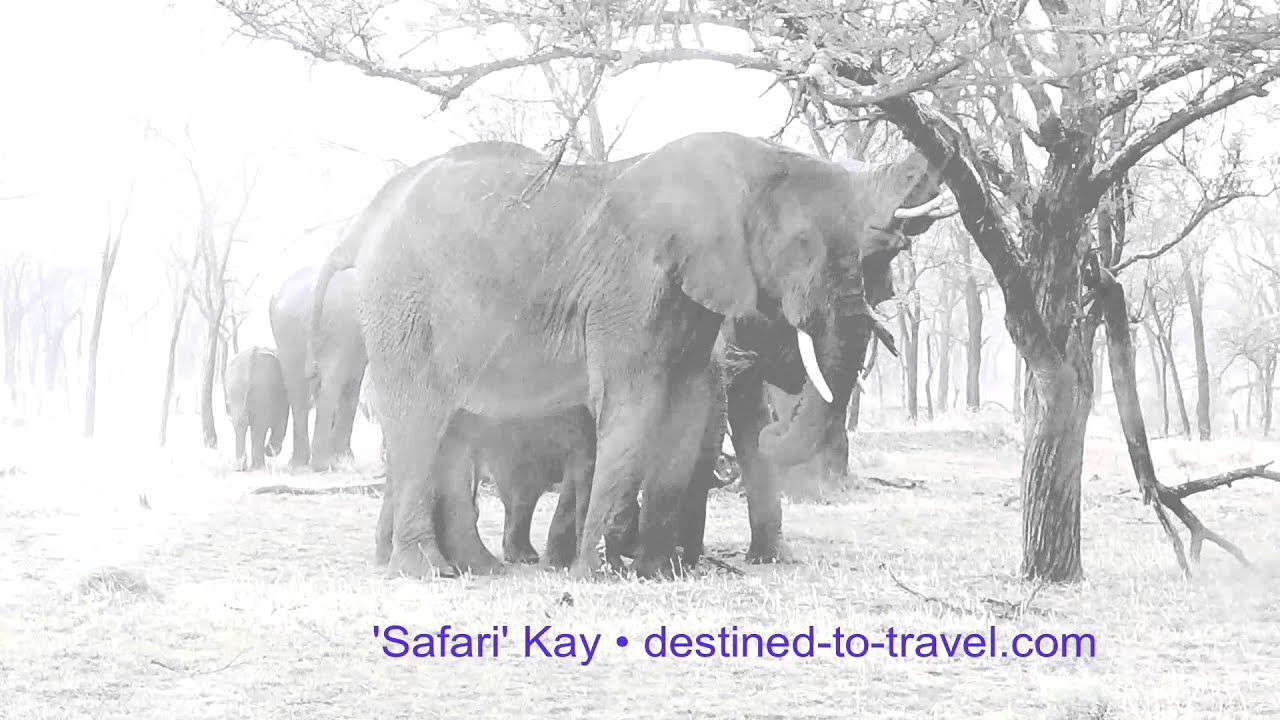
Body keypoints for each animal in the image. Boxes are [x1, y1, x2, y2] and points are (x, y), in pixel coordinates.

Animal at [269, 264, 367, 470]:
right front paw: (344, 459)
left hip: (288, 332)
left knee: (297, 392)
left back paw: (299, 464)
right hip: (339, 329)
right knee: (334, 388)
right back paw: (326, 463)